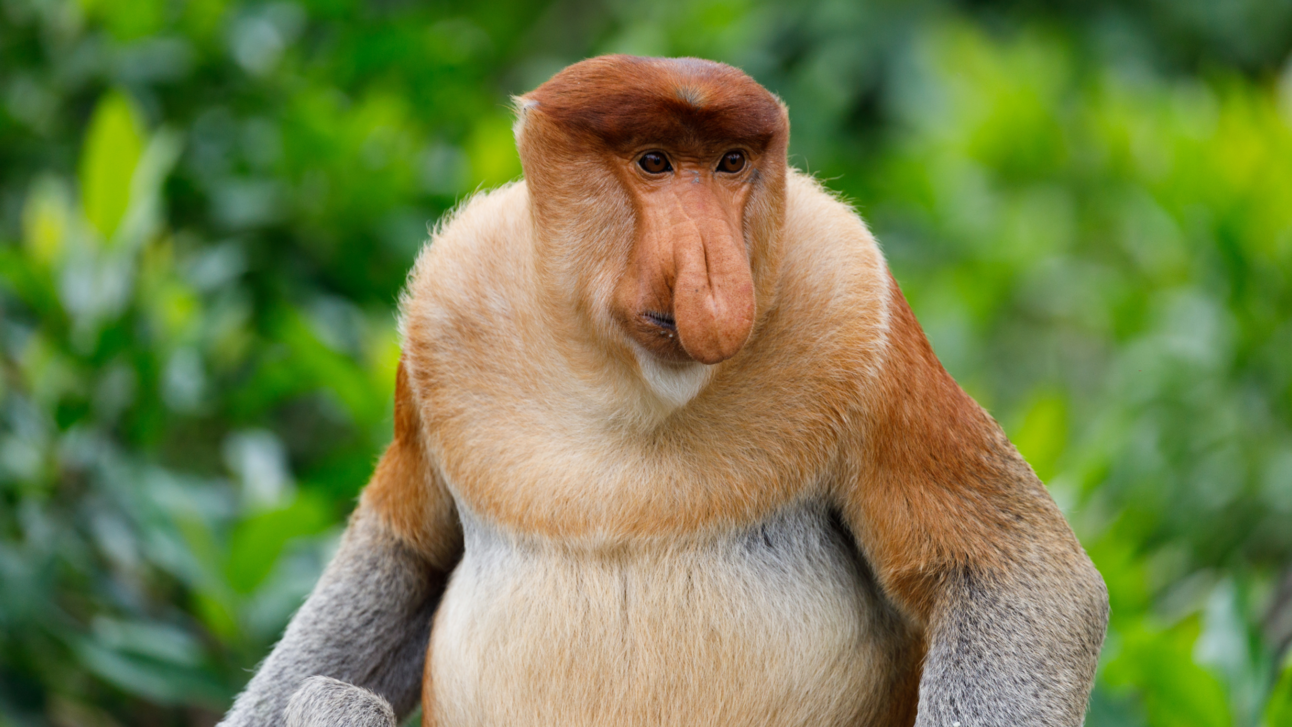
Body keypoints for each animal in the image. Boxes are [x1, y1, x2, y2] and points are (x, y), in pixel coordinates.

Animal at [218, 55, 1108, 727]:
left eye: (730, 164)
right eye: (654, 162)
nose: (716, 278)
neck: (631, 377)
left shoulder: (860, 309)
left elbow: (1018, 577)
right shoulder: (444, 305)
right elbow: (403, 550)